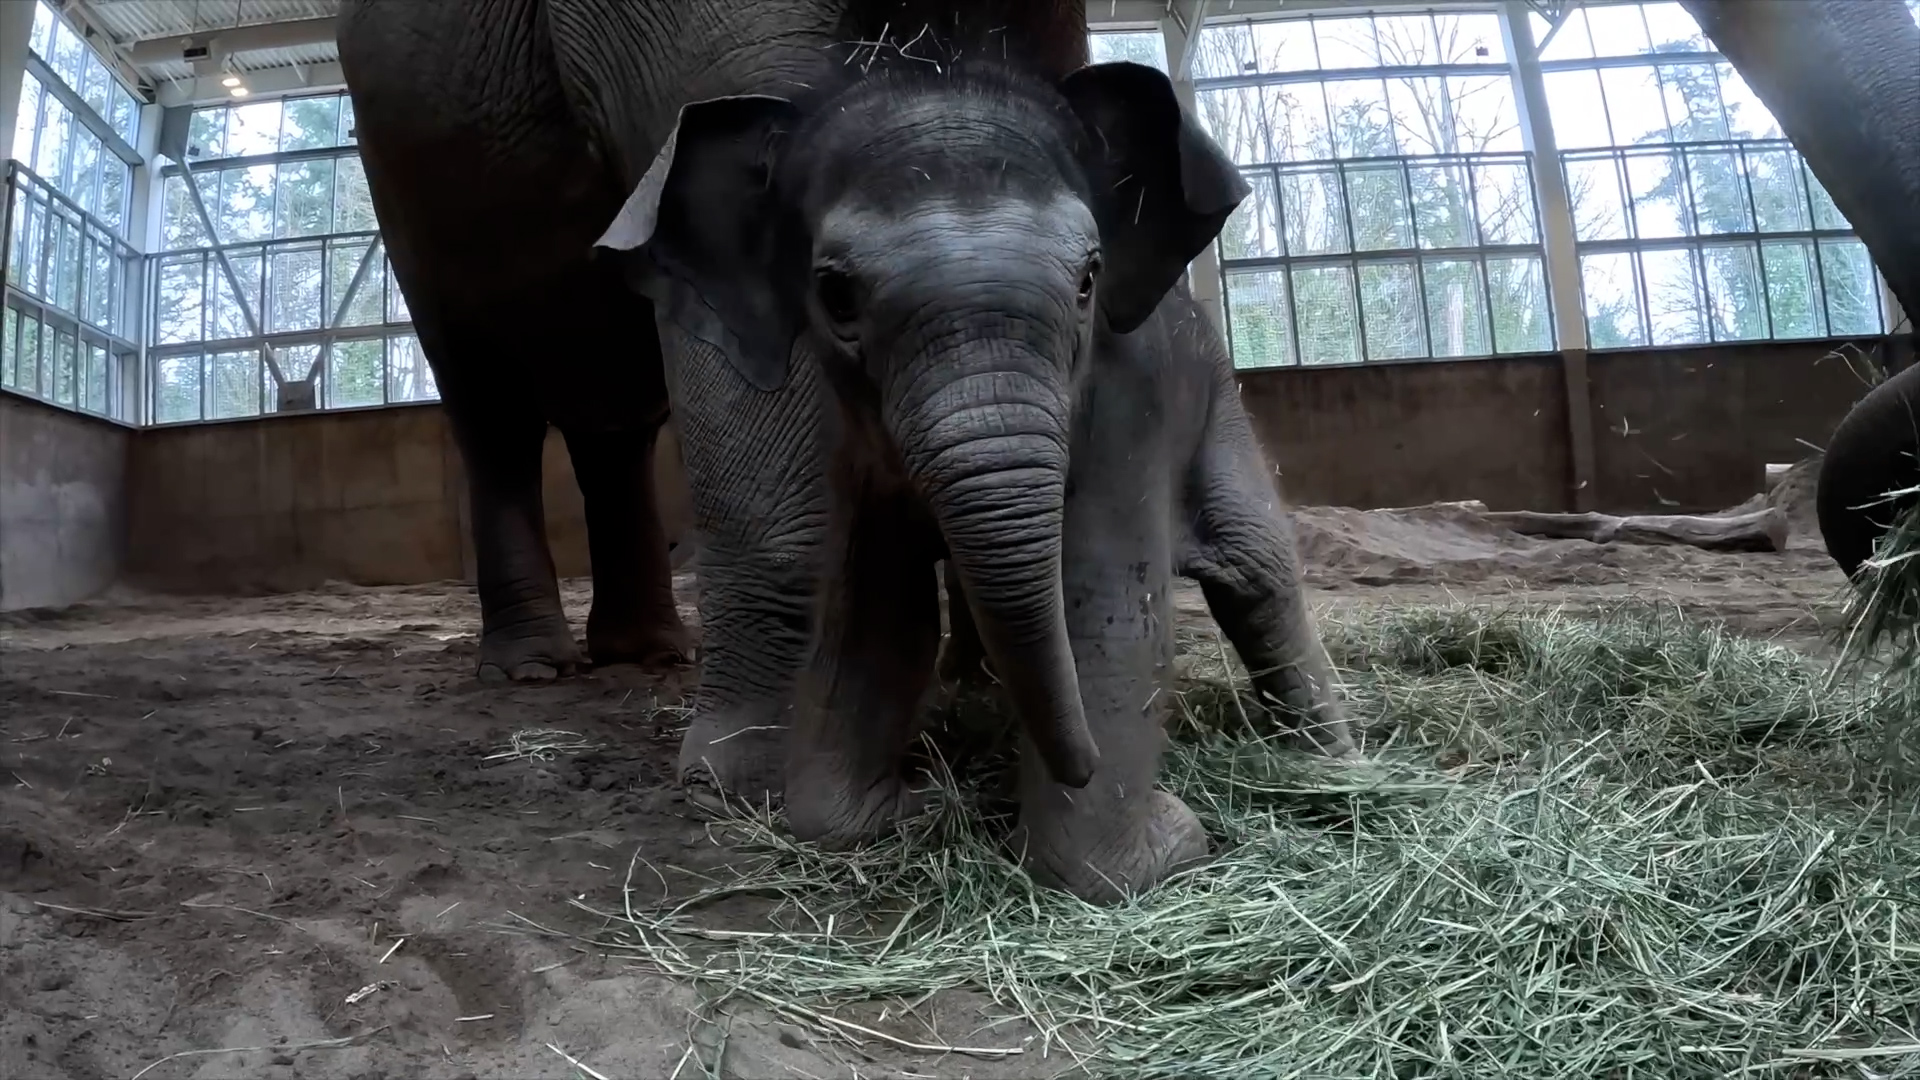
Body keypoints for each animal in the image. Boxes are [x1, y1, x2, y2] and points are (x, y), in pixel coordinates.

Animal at [336, 1, 1093, 799]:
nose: (1081, 768)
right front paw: (753, 776)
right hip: (411, 203)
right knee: (492, 407)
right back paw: (533, 670)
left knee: (612, 424)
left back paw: (653, 654)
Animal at [595, 58, 1354, 900]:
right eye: (836, 295)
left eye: (1089, 279)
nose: (1157, 795)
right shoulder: (853, 444)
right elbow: (877, 614)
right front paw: (904, 807)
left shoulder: (1128, 413)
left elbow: (1107, 613)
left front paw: (1171, 842)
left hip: (1219, 404)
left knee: (1257, 572)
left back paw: (1336, 769)